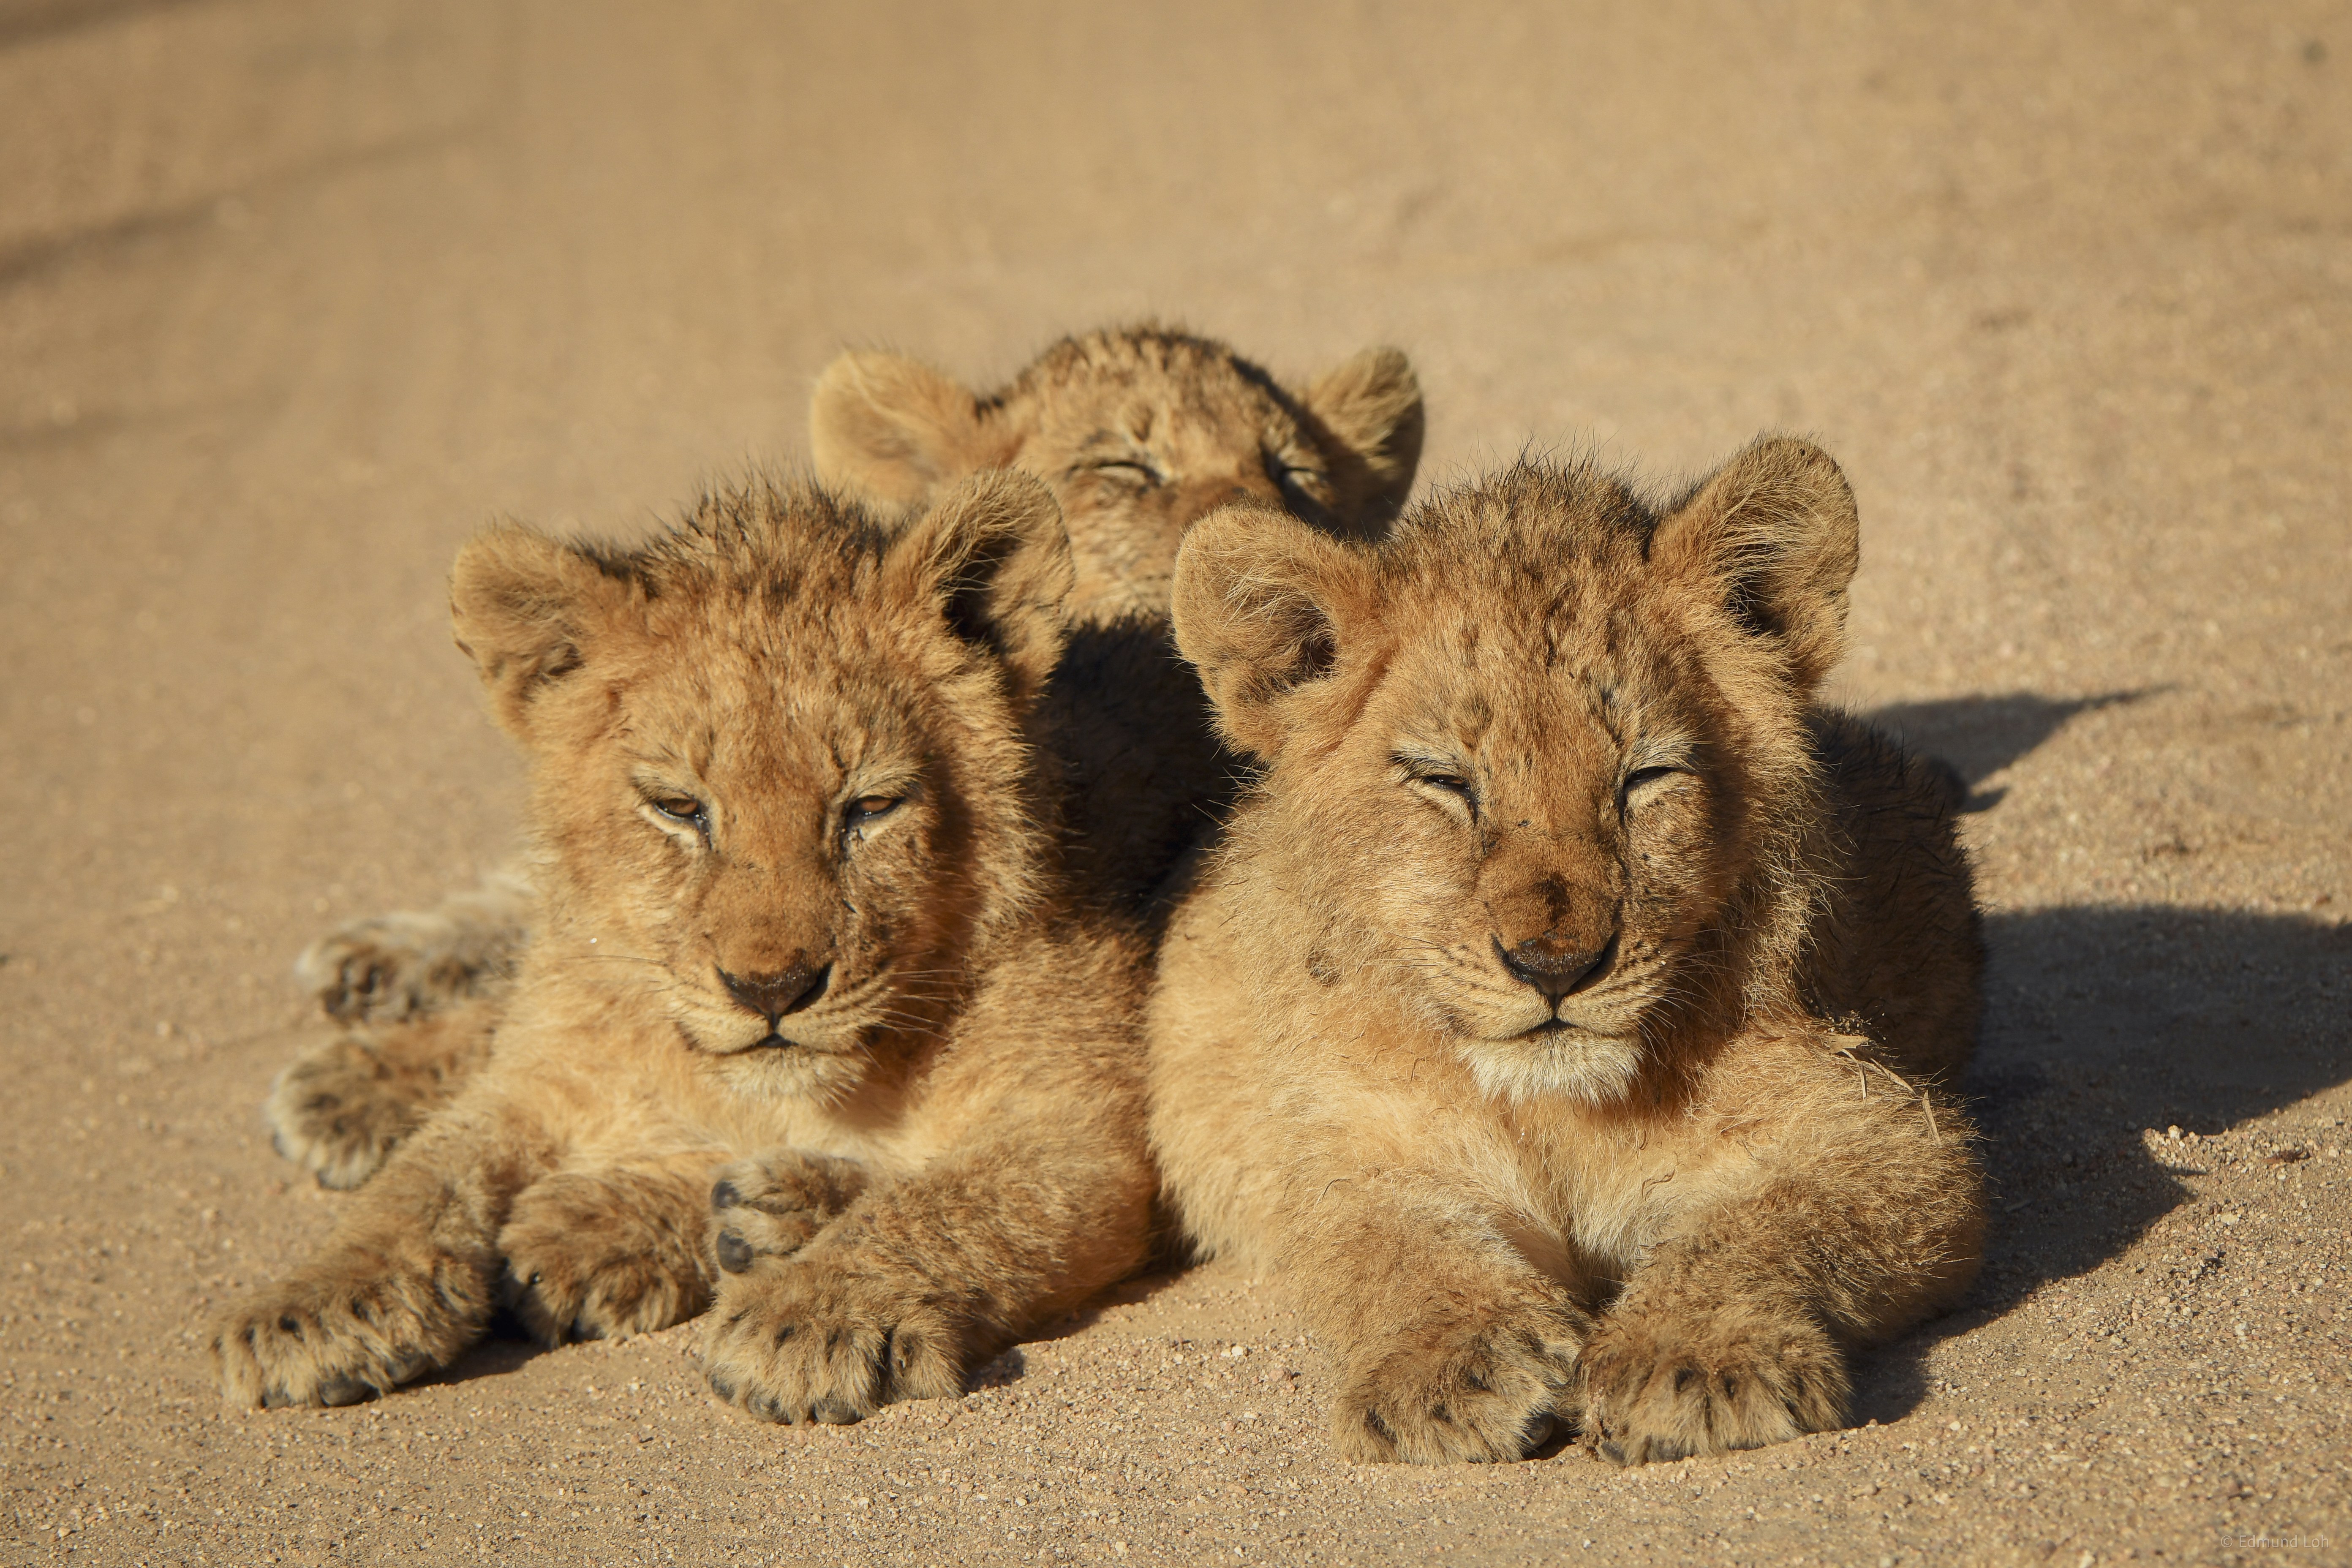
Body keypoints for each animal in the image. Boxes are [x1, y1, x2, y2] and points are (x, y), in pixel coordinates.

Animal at [215, 470, 1181, 1413]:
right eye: (679, 808)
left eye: (870, 807)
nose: (773, 989)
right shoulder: (540, 1074)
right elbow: (424, 1176)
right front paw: (311, 1302)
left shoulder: (1079, 1134)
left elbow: (948, 1207)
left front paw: (807, 1314)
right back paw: (356, 1062)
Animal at [1145, 438, 1986, 1466]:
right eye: (1443, 782)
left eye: (1644, 777)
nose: (1554, 965)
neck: (1556, 1117)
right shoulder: (1336, 1146)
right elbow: (1385, 1243)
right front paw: (1453, 1363)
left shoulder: (1886, 1131)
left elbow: (1764, 1227)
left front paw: (1693, 1359)